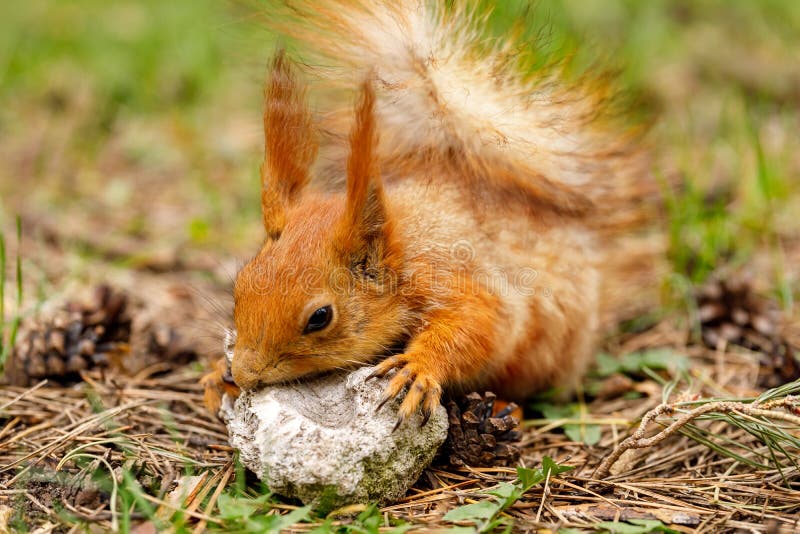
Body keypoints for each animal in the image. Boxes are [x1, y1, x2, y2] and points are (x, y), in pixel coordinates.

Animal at [202, 1, 658, 425]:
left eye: (320, 317)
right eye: (240, 286)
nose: (245, 374)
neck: (404, 248)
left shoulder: (455, 276)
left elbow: (479, 326)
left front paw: (418, 367)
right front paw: (216, 373)